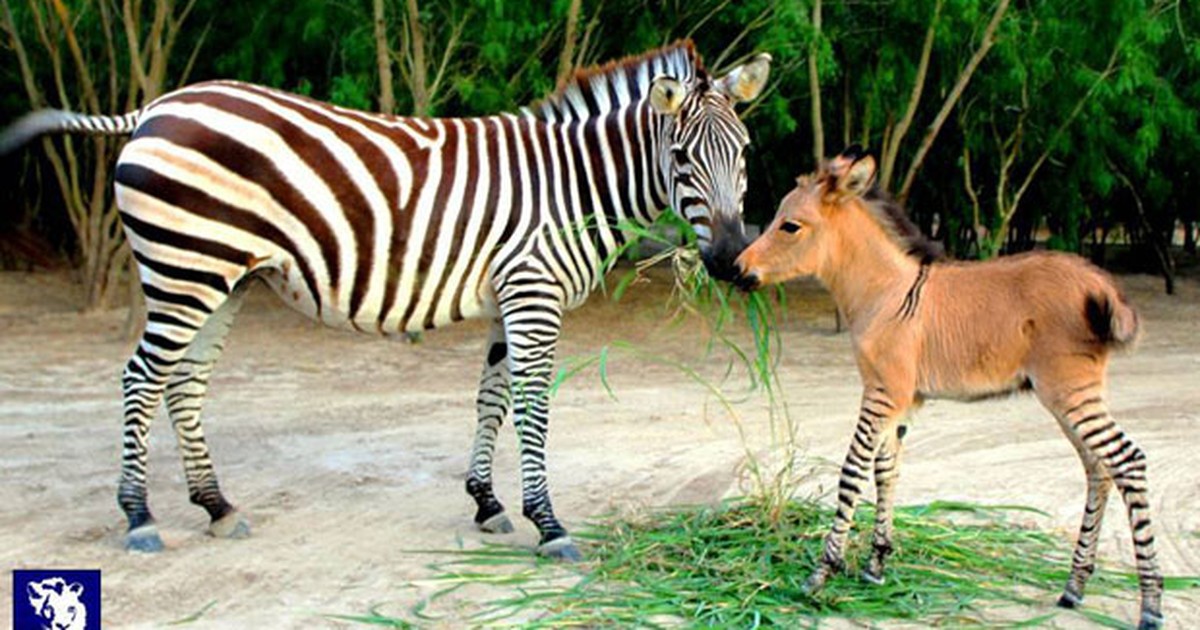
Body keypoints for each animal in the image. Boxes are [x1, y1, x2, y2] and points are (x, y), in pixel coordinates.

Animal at [1, 41, 772, 559]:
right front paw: (548, 524)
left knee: (182, 383)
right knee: (140, 377)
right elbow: (533, 407)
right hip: (185, 268)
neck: (570, 186)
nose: (731, 263)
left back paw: (217, 506)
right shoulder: (533, 293)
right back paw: (139, 516)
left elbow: (491, 400)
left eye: (743, 152)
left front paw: (487, 503)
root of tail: (159, 104)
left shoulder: (508, 298)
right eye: (681, 160)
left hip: (221, 276)